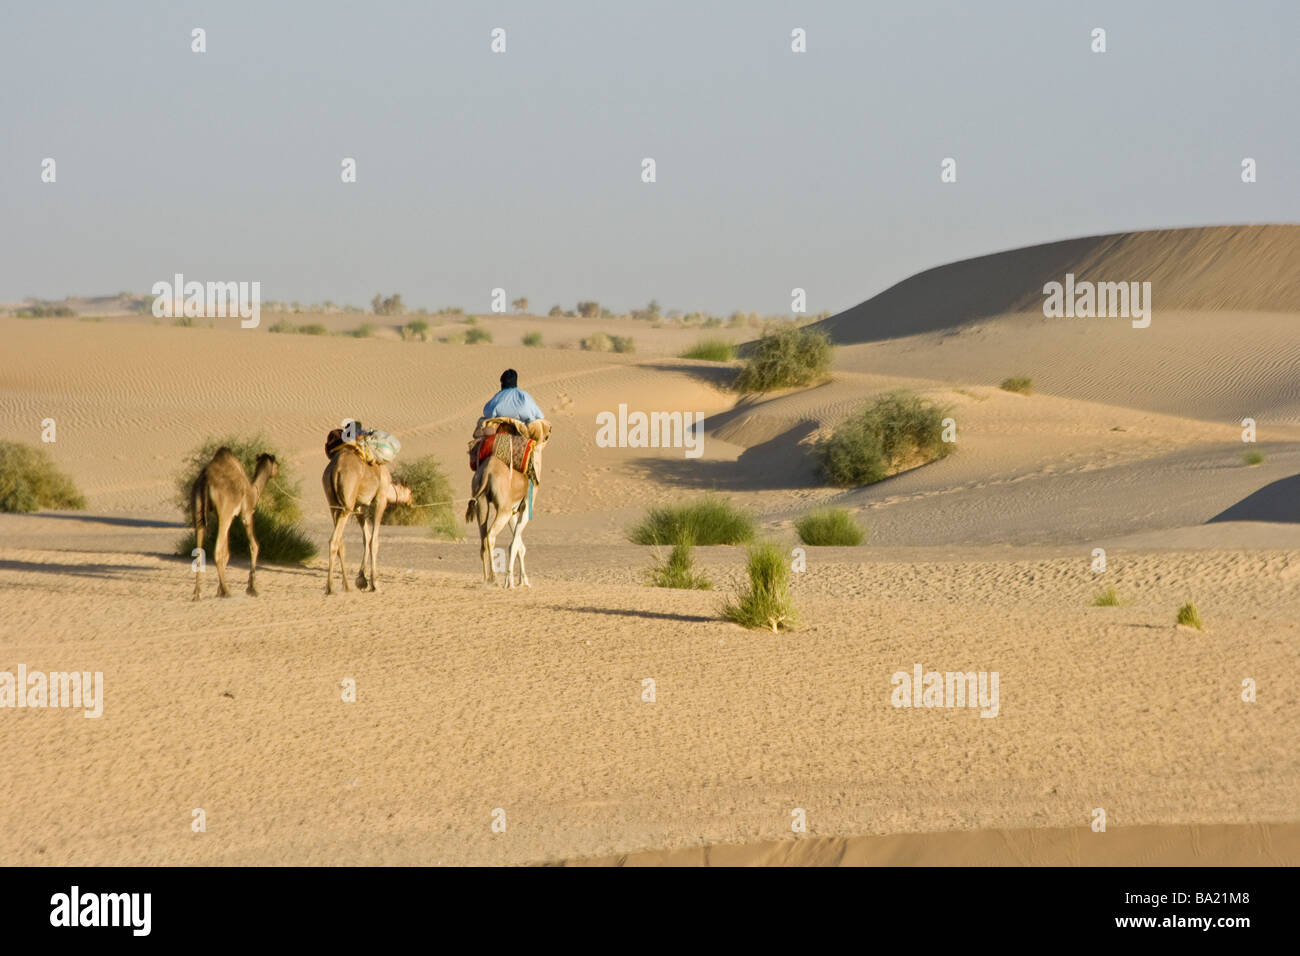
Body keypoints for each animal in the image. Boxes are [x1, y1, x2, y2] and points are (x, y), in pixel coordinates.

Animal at [190, 448, 279, 600]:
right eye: (276, 463)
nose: (278, 470)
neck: (253, 491)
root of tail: (205, 481)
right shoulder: (246, 513)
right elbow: (254, 545)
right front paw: (251, 588)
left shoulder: (228, 516)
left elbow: (227, 553)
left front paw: (219, 590)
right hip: (224, 511)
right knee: (217, 550)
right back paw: (227, 591)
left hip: (198, 508)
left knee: (199, 551)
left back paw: (197, 594)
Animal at [322, 448, 397, 594]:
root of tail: (335, 469)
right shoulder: (381, 499)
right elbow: (374, 541)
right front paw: (375, 584)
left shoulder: (359, 505)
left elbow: (366, 538)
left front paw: (362, 580)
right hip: (347, 506)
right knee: (334, 540)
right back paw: (331, 587)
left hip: (333, 505)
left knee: (340, 542)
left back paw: (346, 586)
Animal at [466, 422, 550, 588]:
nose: (549, 432)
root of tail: (487, 471)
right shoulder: (524, 508)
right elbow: (515, 544)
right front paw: (511, 581)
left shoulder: (513, 510)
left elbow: (519, 546)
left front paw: (523, 580)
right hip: (502, 509)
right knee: (490, 536)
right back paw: (494, 578)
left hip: (481, 501)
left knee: (483, 538)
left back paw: (486, 579)